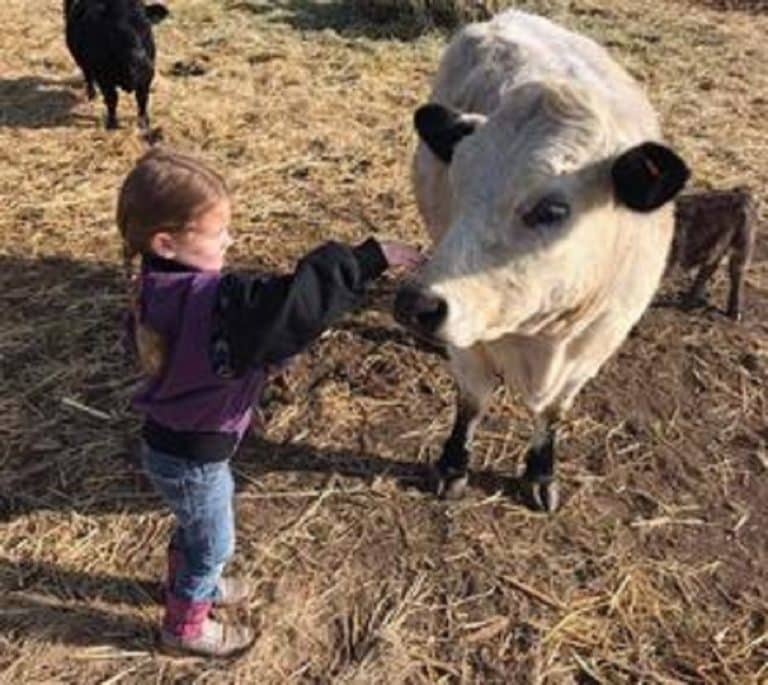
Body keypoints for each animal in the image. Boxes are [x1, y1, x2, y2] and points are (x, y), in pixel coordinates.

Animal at [64, 0, 169, 131]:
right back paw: (92, 95)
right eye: (115, 31)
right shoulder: (103, 77)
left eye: (147, 26)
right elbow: (112, 99)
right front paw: (112, 123)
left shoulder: (147, 76)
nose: (140, 61)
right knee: (88, 76)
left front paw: (144, 123)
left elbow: (142, 98)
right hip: (82, 61)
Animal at [394, 10, 690, 511]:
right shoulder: (471, 349)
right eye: (459, 183)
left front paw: (540, 472)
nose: (416, 304)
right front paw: (453, 464)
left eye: (552, 210)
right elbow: (472, 402)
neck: (541, 339)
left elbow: (552, 414)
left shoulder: (591, 350)